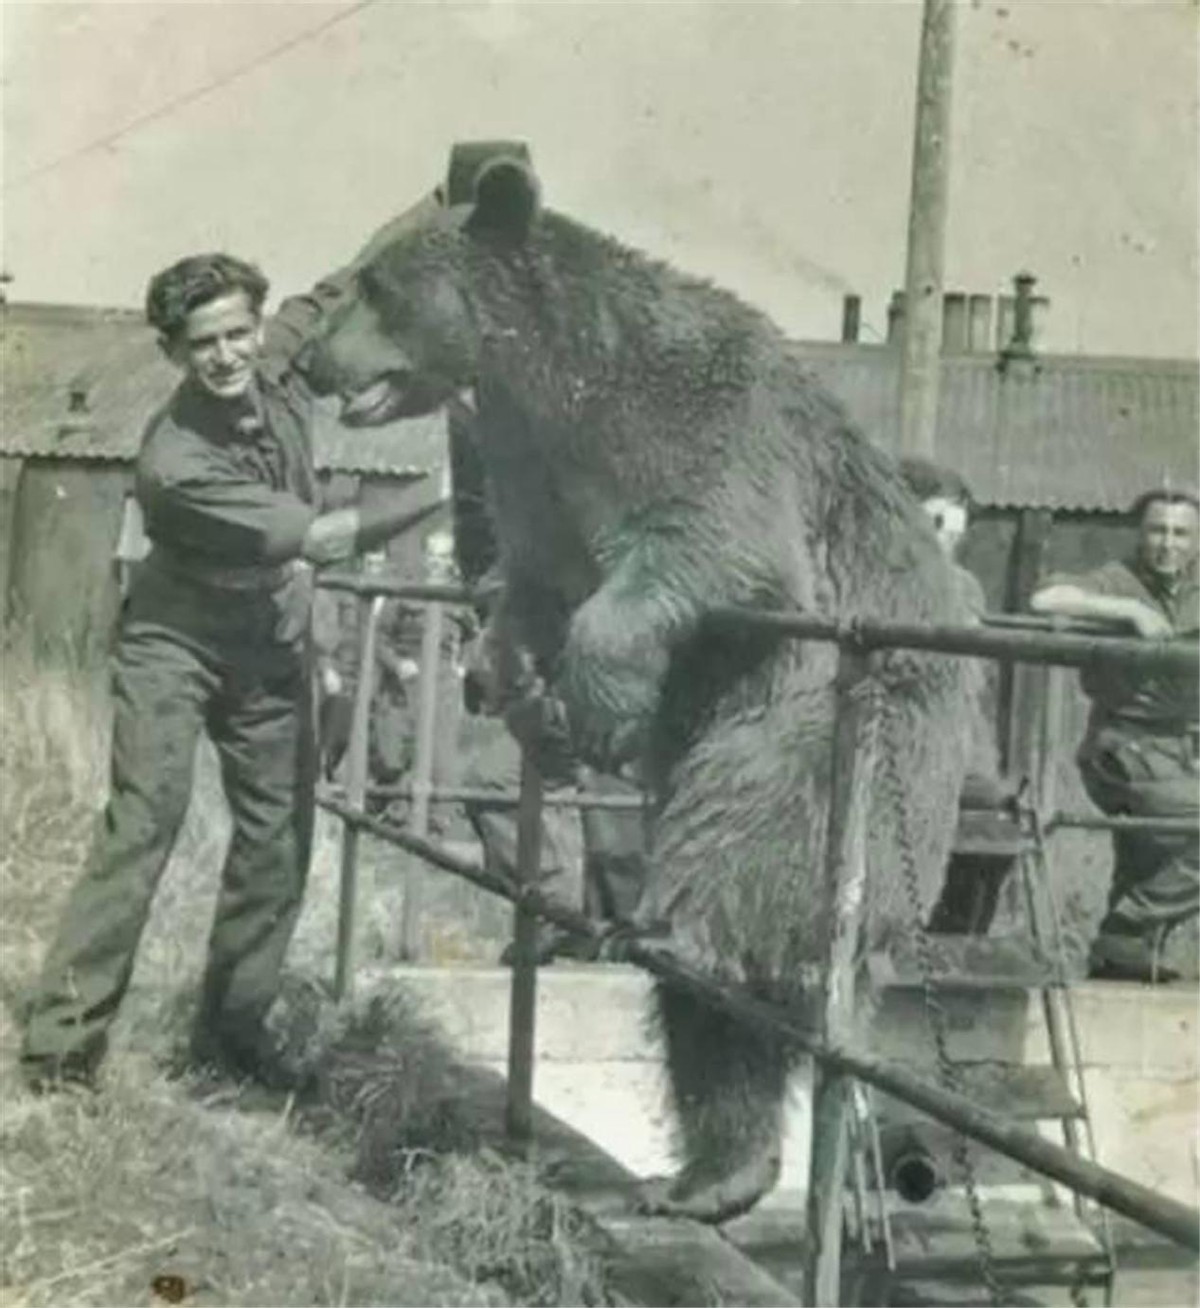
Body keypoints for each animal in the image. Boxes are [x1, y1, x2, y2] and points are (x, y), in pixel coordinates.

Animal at [309, 158, 976, 1224]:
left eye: (375, 282)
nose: (312, 359)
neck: (548, 385)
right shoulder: (533, 480)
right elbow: (534, 587)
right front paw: (506, 678)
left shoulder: (698, 428)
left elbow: (706, 551)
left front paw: (597, 707)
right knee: (709, 1033)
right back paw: (706, 1179)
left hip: (829, 759)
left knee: (730, 863)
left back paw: (683, 942)